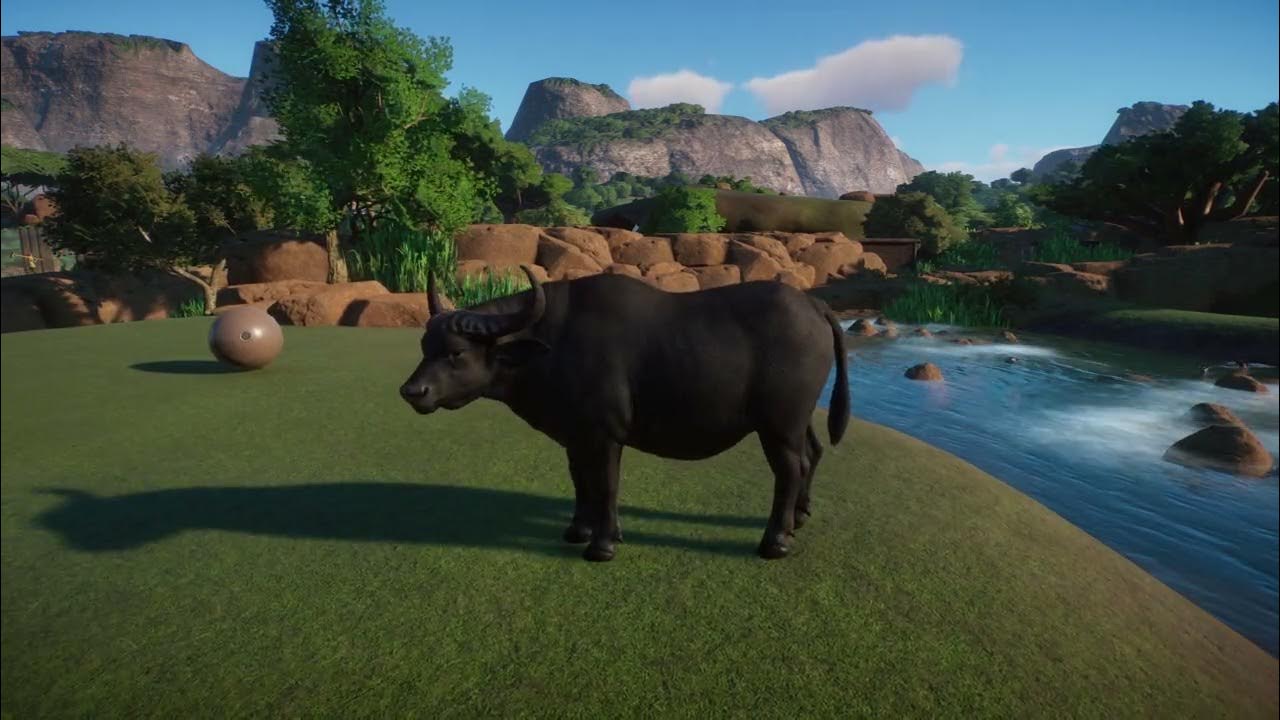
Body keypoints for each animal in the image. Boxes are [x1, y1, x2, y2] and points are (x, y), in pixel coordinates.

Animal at [399, 266, 851, 562]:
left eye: (457, 353)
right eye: (424, 347)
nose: (411, 391)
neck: (554, 341)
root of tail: (814, 305)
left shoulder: (605, 435)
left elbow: (606, 485)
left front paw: (602, 544)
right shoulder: (576, 437)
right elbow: (581, 482)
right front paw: (578, 530)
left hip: (778, 424)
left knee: (790, 469)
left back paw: (775, 541)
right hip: (798, 420)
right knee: (812, 453)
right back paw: (798, 518)